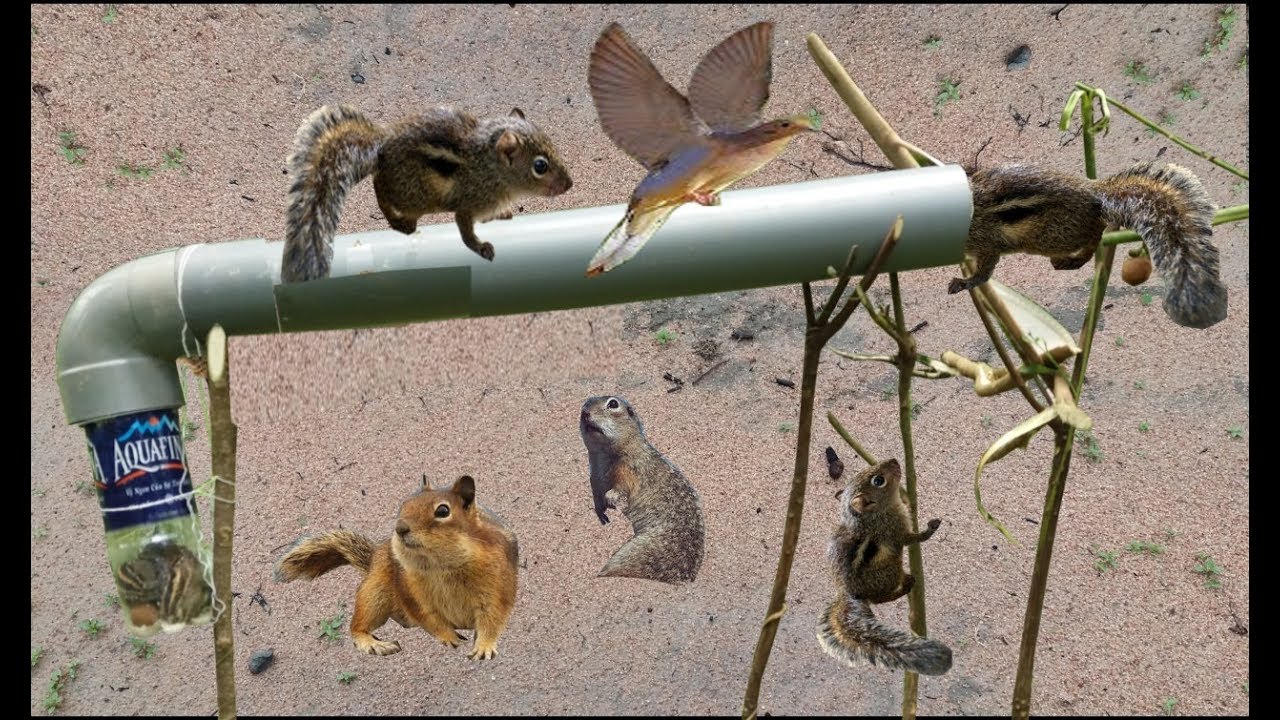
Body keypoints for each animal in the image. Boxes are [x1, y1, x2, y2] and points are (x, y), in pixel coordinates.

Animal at [274, 474, 519, 660]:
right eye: (404, 504)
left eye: (442, 511)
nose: (400, 528)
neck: (442, 566)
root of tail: (373, 559)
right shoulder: (412, 592)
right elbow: (429, 618)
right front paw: (449, 638)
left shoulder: (497, 584)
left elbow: (493, 617)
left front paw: (484, 647)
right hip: (374, 594)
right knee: (357, 627)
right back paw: (376, 644)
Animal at [280, 104, 573, 283]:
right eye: (540, 166)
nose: (569, 184)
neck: (490, 168)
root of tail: (382, 147)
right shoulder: (468, 203)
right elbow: (465, 233)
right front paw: (481, 247)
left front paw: (501, 214)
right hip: (414, 196)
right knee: (380, 189)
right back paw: (401, 223)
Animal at [579, 395, 705, 585]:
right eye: (585, 403)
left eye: (613, 403)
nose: (585, 413)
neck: (603, 454)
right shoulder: (595, 477)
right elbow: (597, 494)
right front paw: (601, 513)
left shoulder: (629, 468)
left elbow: (622, 486)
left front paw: (611, 497)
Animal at [816, 458, 953, 676]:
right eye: (878, 481)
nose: (894, 460)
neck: (875, 514)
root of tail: (849, 593)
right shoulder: (896, 533)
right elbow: (914, 539)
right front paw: (930, 529)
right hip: (891, 571)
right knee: (881, 598)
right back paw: (907, 584)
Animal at [949, 162, 1226, 329]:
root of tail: (1092, 190)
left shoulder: (987, 243)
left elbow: (984, 272)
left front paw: (964, 282)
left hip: (1054, 238)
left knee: (1095, 234)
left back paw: (1071, 260)